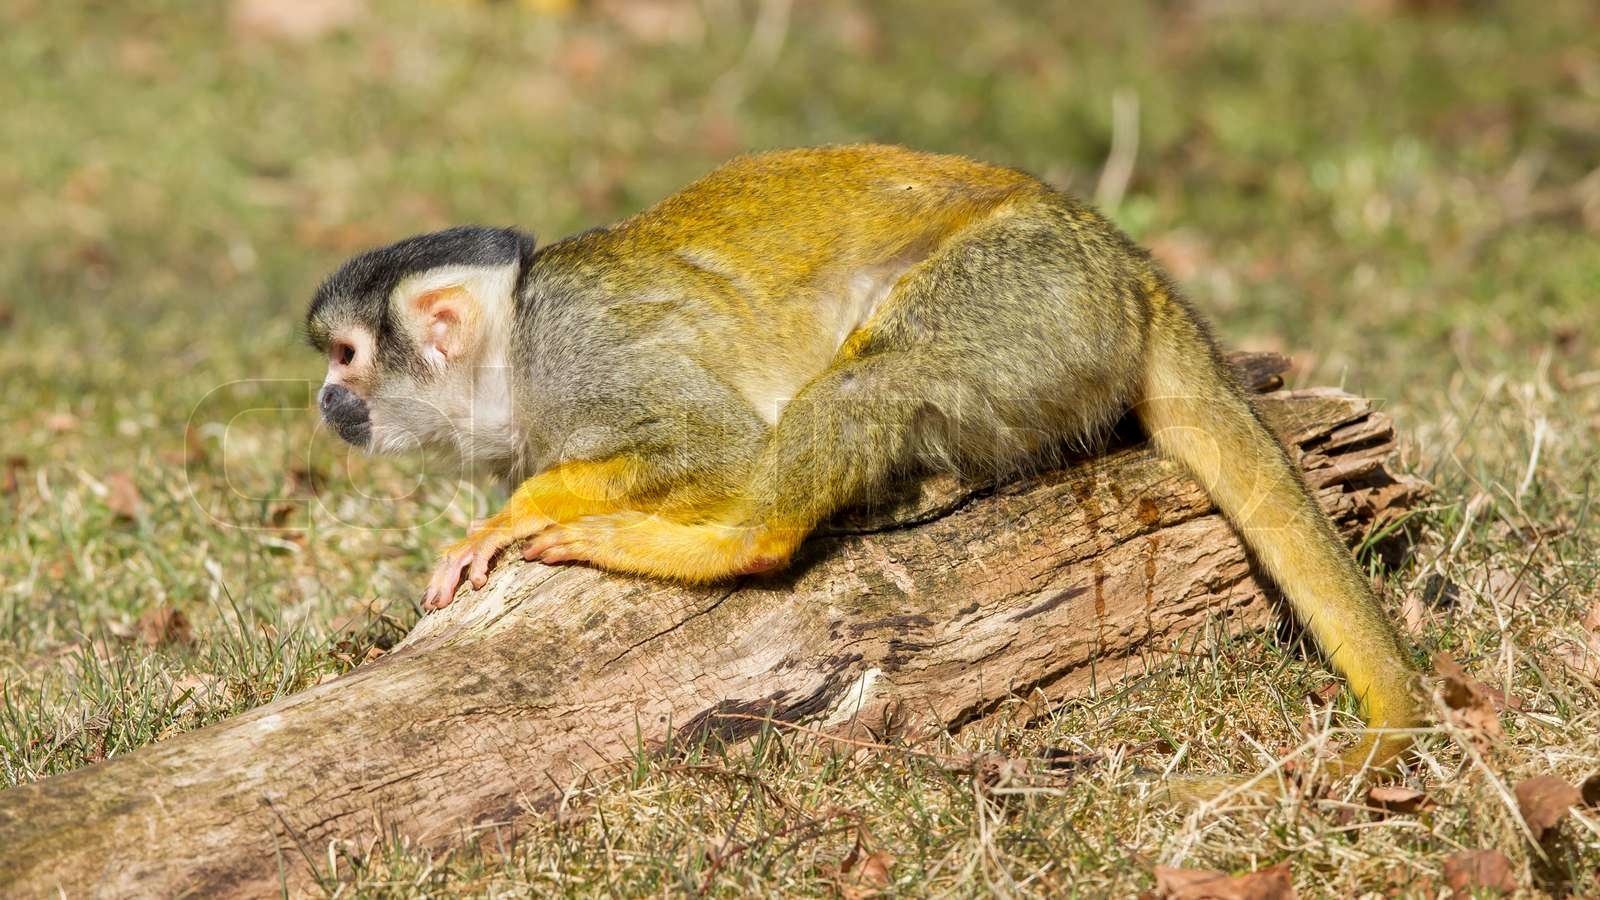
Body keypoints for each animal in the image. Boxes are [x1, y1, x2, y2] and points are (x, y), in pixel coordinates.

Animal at [306, 144, 1421, 783]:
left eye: (346, 356)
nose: (326, 400)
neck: (513, 354)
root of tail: (1131, 269)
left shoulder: (584, 356)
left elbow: (716, 447)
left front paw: (513, 518)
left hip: (1032, 293)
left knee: (865, 384)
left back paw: (732, 544)